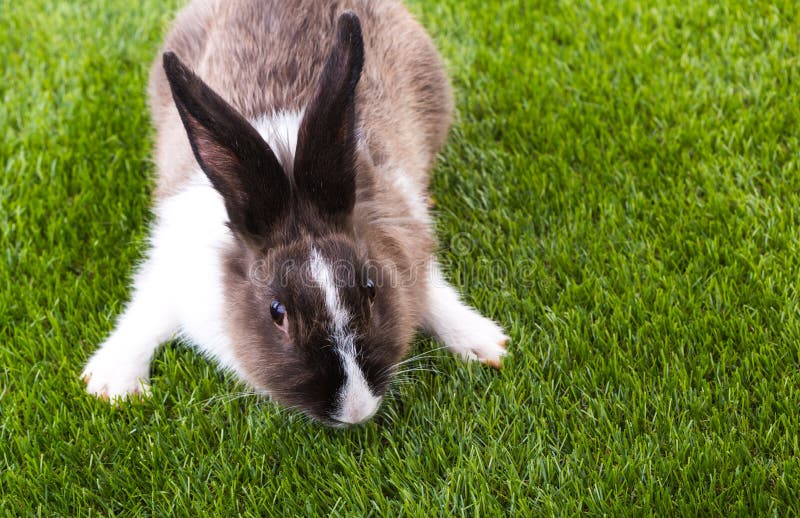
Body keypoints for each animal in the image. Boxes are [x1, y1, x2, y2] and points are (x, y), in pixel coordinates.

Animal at [81, 0, 509, 426]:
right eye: (277, 313)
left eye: (372, 289)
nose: (356, 410)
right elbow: (147, 310)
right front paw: (113, 385)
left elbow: (432, 289)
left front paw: (485, 343)